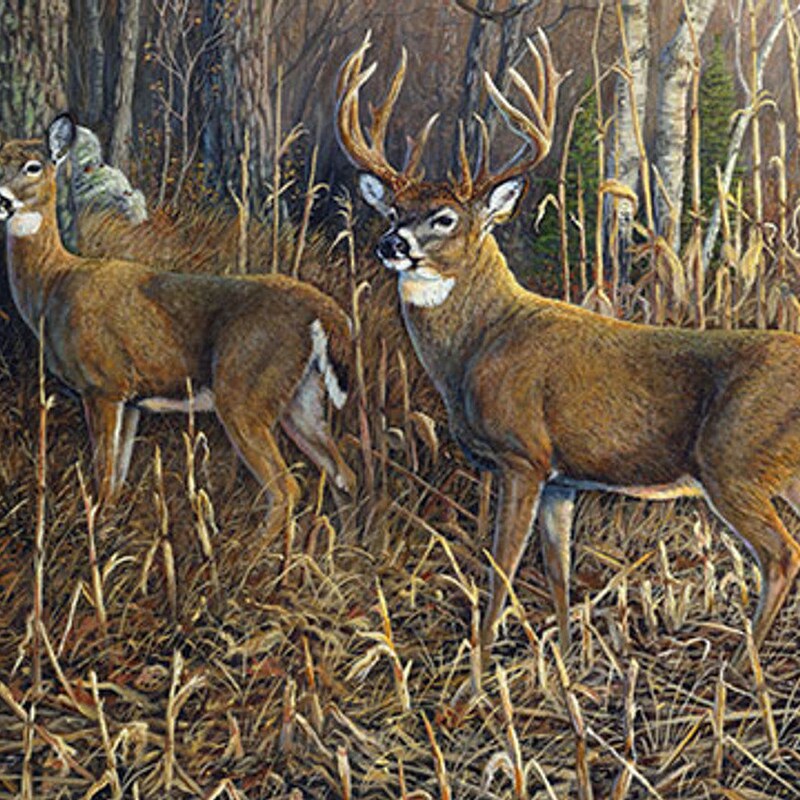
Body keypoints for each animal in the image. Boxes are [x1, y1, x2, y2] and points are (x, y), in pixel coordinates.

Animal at [0, 113, 356, 541]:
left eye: (33, 166)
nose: (3, 201)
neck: (53, 284)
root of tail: (325, 310)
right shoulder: (131, 398)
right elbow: (116, 478)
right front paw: (112, 532)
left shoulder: (103, 385)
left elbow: (102, 475)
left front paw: (96, 537)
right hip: (300, 396)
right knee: (343, 473)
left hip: (244, 391)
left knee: (287, 486)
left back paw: (251, 554)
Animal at [336, 30, 800, 665]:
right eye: (391, 209)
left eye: (444, 217)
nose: (390, 244)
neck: (478, 347)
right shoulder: (562, 479)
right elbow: (558, 569)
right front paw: (561, 659)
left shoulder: (523, 454)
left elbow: (502, 567)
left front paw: (481, 663)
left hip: (733, 460)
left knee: (781, 555)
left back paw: (740, 665)